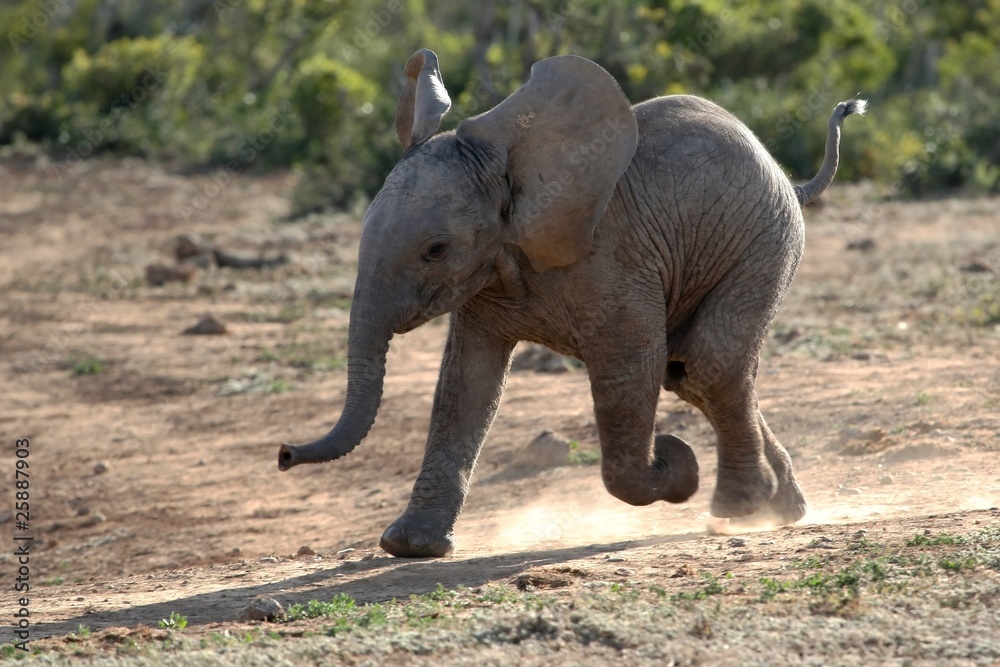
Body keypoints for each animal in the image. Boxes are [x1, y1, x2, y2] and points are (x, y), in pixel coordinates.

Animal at [277, 48, 865, 558]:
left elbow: (629, 366)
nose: (284, 454)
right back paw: (784, 509)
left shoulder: (611, 261)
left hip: (764, 243)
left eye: (435, 250)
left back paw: (739, 510)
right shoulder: (490, 275)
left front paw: (675, 465)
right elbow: (465, 383)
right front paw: (410, 548)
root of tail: (787, 176)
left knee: (706, 364)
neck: (510, 170)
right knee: (690, 374)